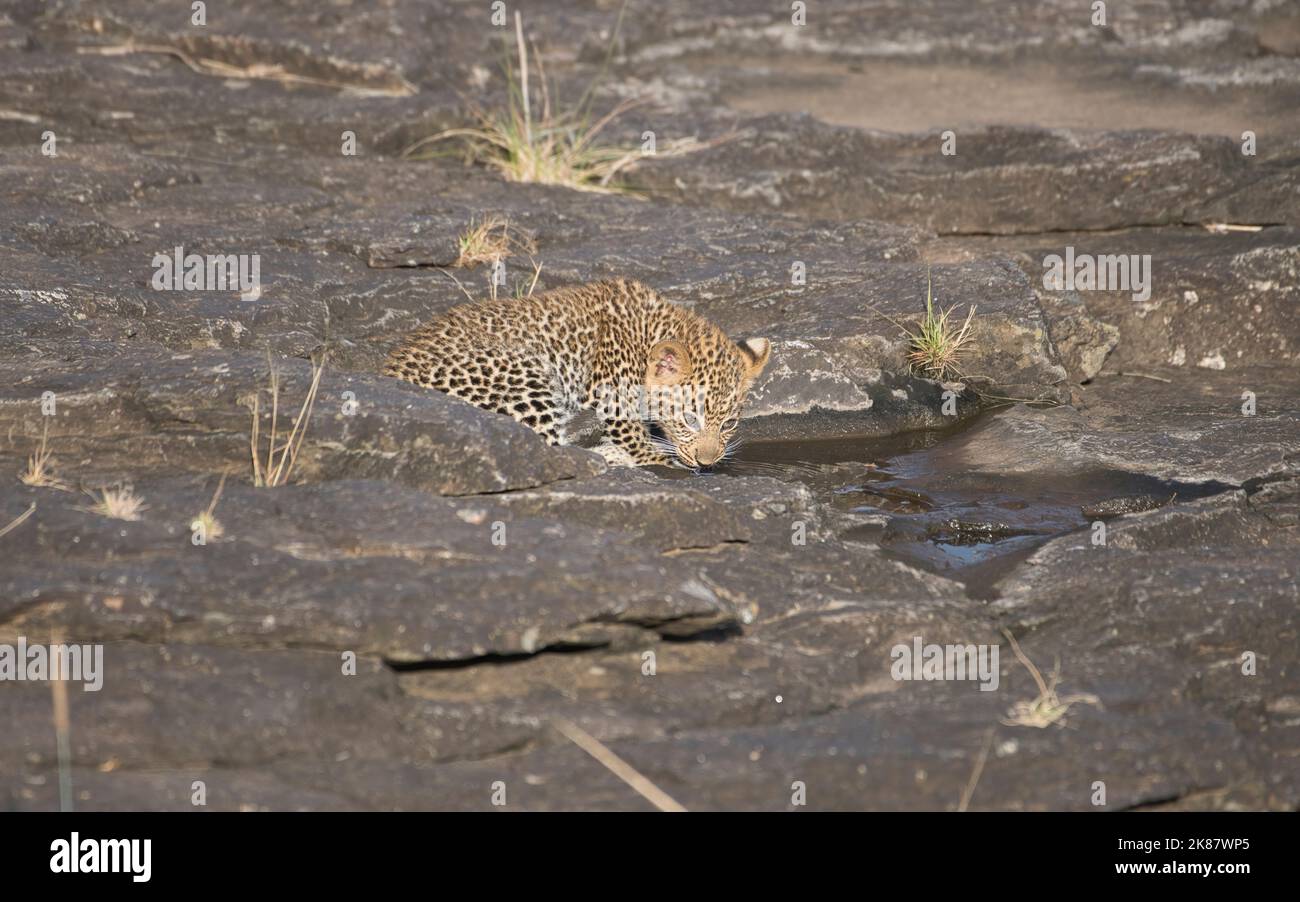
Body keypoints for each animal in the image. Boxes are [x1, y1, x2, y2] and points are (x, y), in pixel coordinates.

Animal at [384, 278, 771, 469]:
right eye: (690, 419)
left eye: (729, 424)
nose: (708, 463)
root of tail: (393, 369)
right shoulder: (614, 397)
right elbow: (637, 441)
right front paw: (660, 457)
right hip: (525, 374)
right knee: (550, 449)